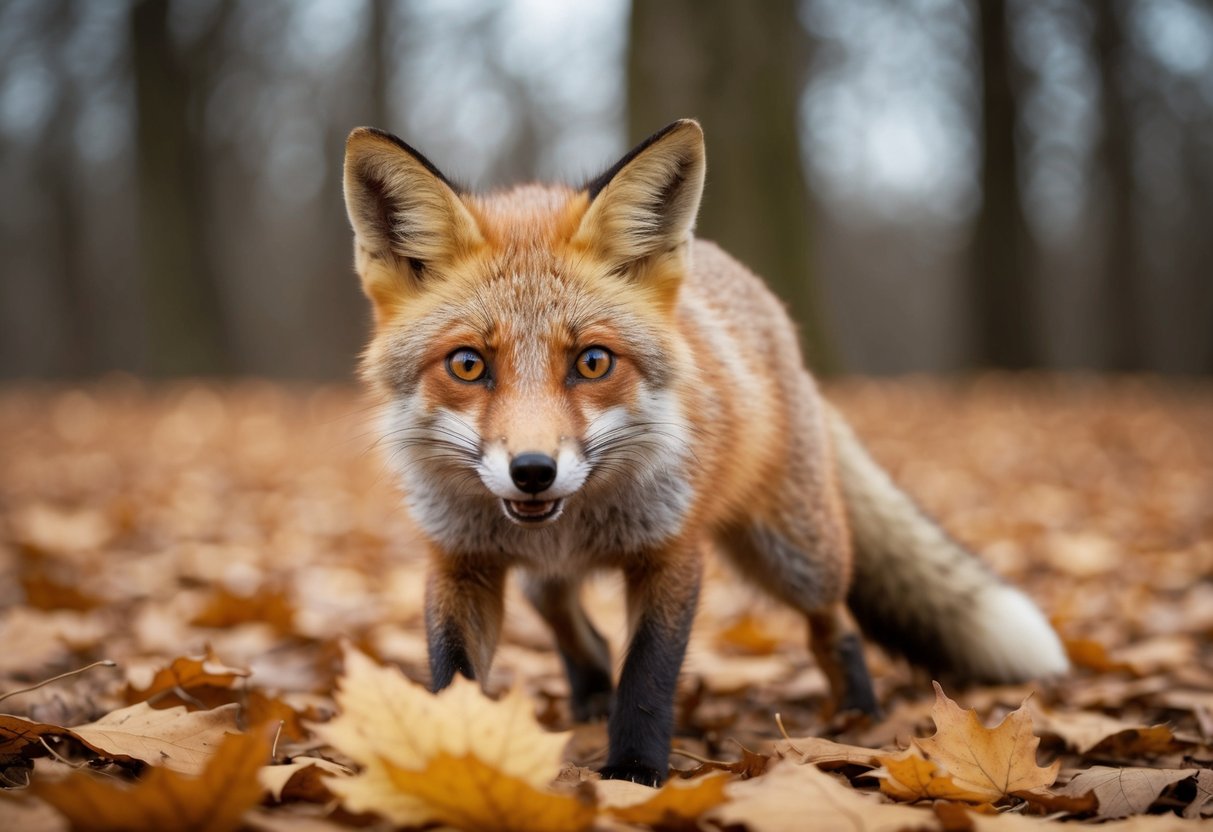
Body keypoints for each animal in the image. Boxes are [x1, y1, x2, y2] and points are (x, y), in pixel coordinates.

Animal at [342, 119, 1069, 786]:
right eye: (467, 365)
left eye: (593, 361)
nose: (532, 472)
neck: (570, 525)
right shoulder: (458, 562)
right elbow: (453, 678)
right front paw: (443, 763)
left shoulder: (672, 550)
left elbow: (648, 678)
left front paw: (632, 775)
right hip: (540, 577)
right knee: (570, 619)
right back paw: (589, 693)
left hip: (795, 553)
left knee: (833, 623)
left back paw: (857, 716)